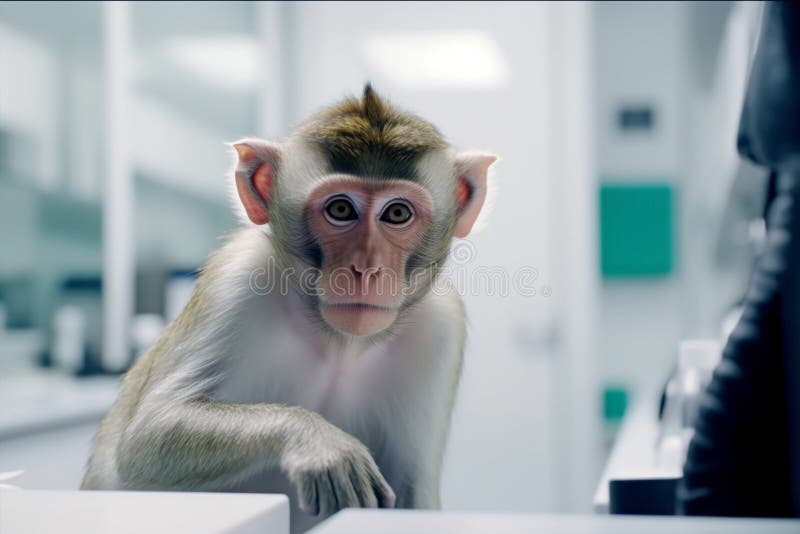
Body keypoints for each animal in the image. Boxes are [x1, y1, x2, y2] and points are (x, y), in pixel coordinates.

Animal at [82, 85, 496, 532]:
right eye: (340, 209)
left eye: (398, 213)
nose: (366, 268)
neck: (339, 342)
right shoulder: (237, 277)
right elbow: (148, 435)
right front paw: (317, 439)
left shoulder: (442, 325)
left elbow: (411, 491)